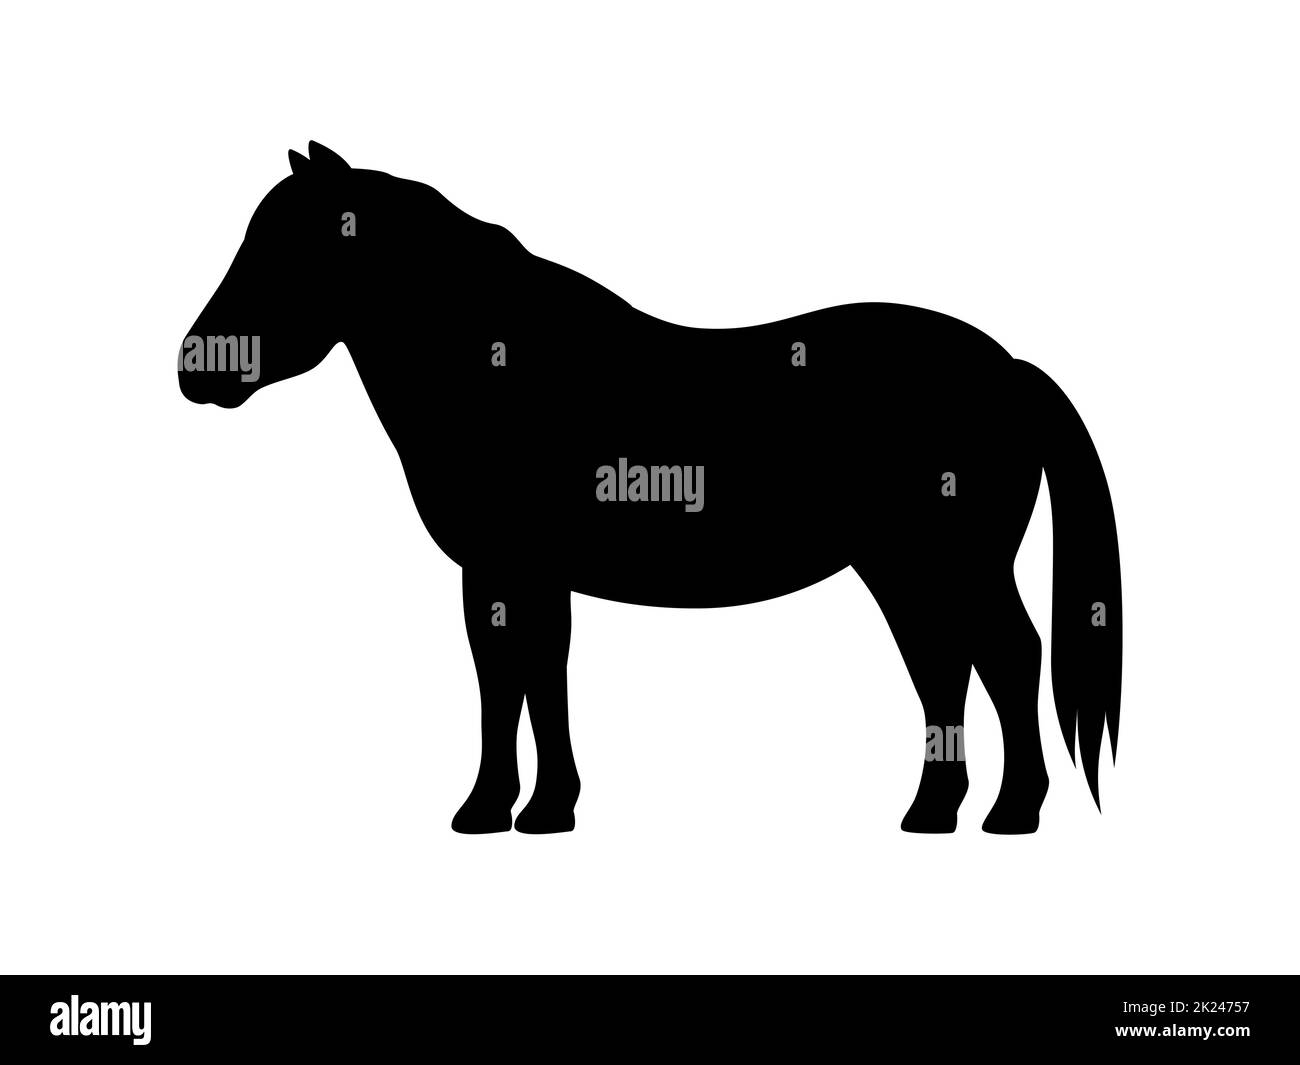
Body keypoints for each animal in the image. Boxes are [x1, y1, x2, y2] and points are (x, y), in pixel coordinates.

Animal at [179, 142, 1122, 834]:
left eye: (289, 251)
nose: (197, 367)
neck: (501, 367)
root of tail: (1007, 370)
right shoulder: (522, 575)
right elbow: (533, 676)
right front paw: (533, 808)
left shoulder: (504, 568)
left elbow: (511, 678)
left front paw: (502, 809)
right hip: (905, 569)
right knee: (944, 666)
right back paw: (933, 811)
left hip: (956, 564)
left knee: (1006, 657)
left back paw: (1011, 812)